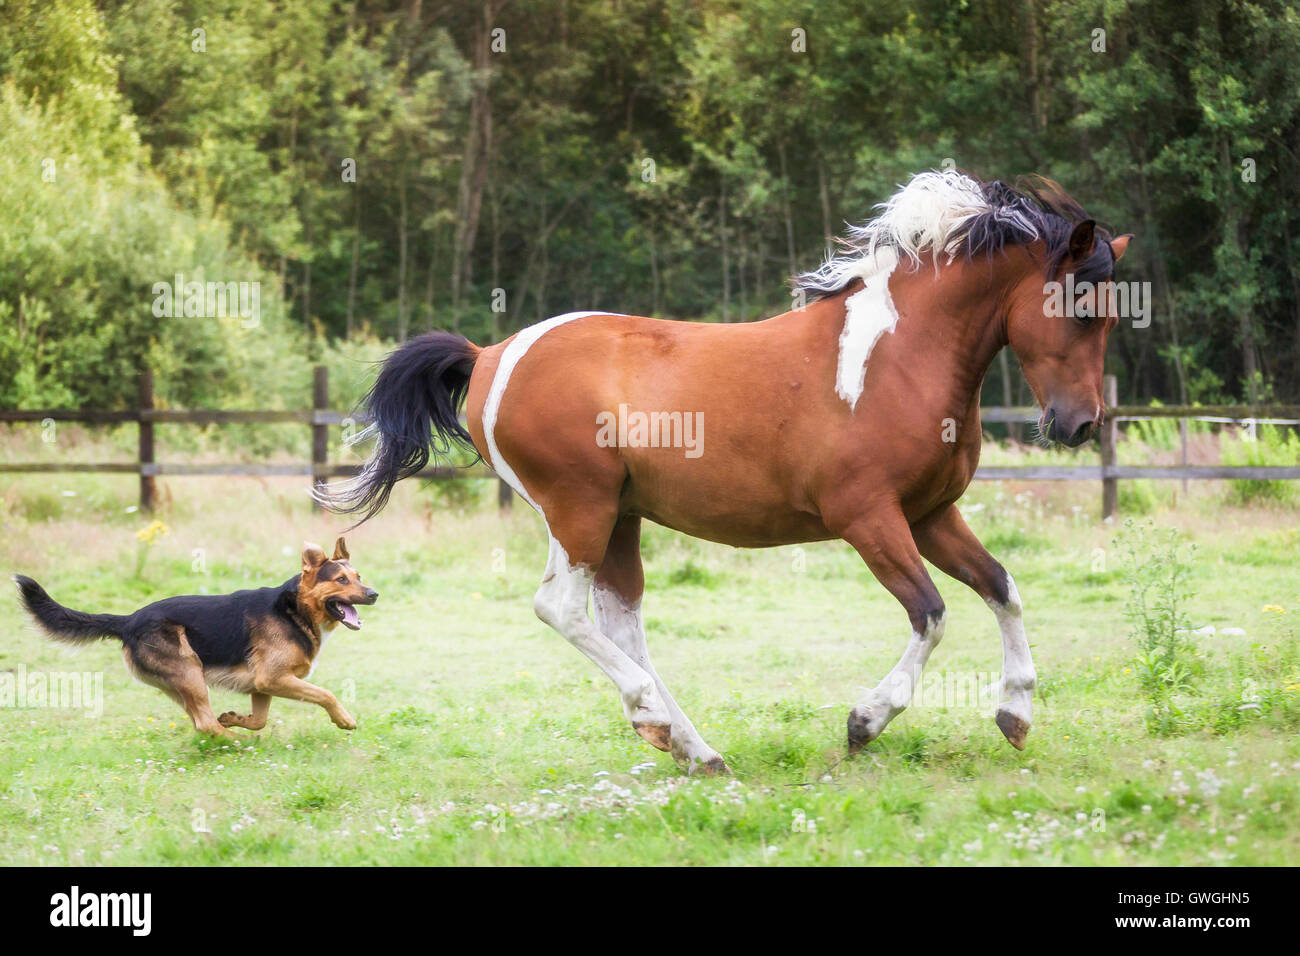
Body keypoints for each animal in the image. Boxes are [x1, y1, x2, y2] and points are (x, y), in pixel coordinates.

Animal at [319, 169, 1131, 775]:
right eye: (1078, 309)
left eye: (1113, 315)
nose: (1078, 424)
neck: (899, 358)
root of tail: (490, 355)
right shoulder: (869, 519)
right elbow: (931, 614)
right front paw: (864, 722)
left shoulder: (931, 514)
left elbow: (1001, 587)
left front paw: (1015, 713)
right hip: (578, 508)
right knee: (562, 609)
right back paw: (655, 719)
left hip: (620, 517)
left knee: (620, 619)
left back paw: (694, 749)